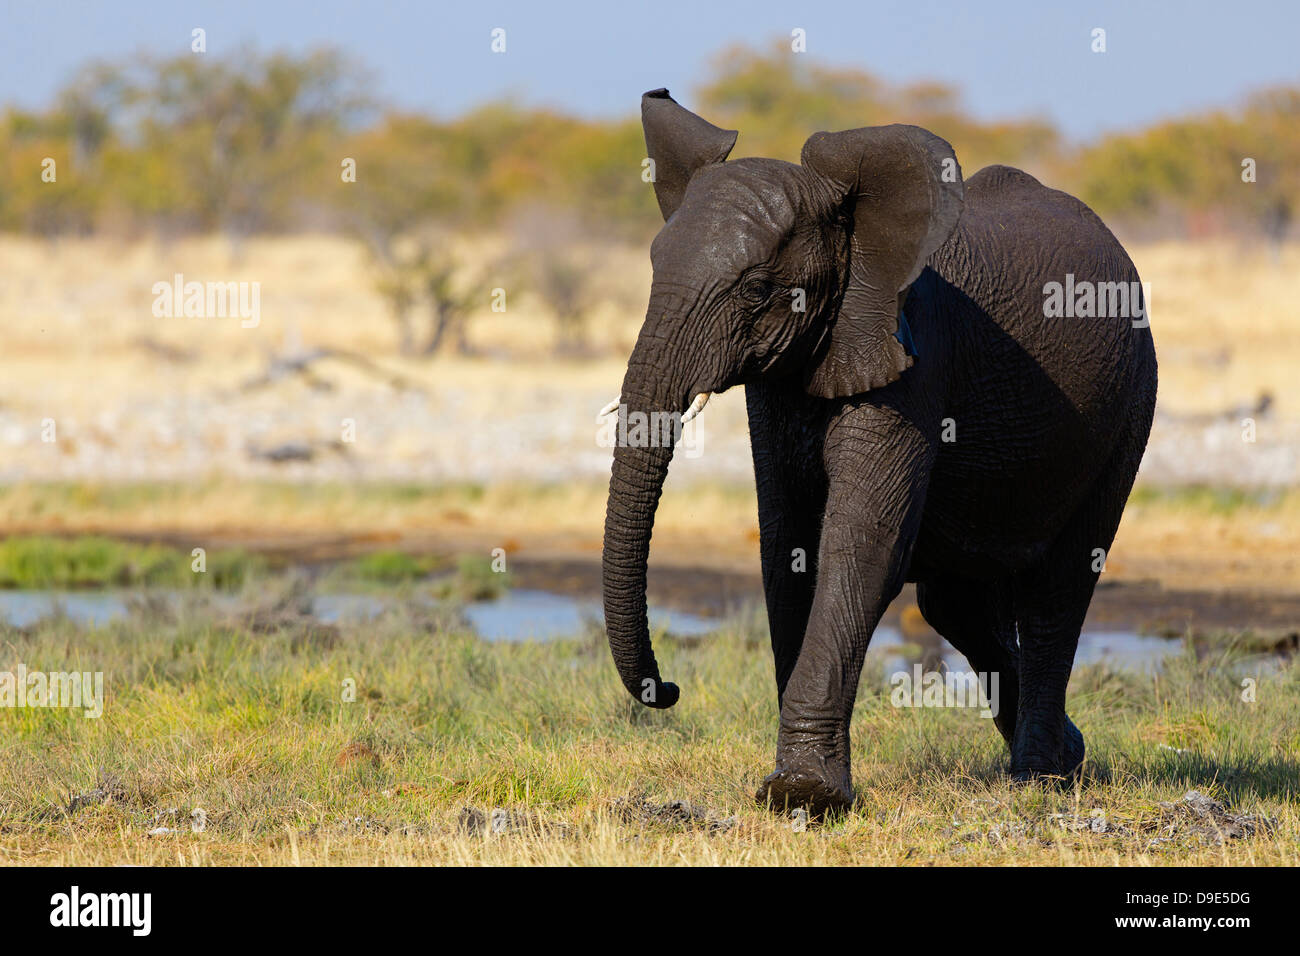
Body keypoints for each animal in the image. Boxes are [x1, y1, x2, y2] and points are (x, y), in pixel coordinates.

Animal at [600, 88, 1158, 815]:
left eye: (756, 289)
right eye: (652, 268)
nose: (666, 690)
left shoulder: (914, 357)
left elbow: (862, 543)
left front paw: (804, 796)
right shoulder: (782, 383)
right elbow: (788, 548)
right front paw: (800, 783)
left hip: (1129, 405)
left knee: (1057, 586)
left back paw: (1040, 777)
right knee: (954, 600)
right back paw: (1069, 751)